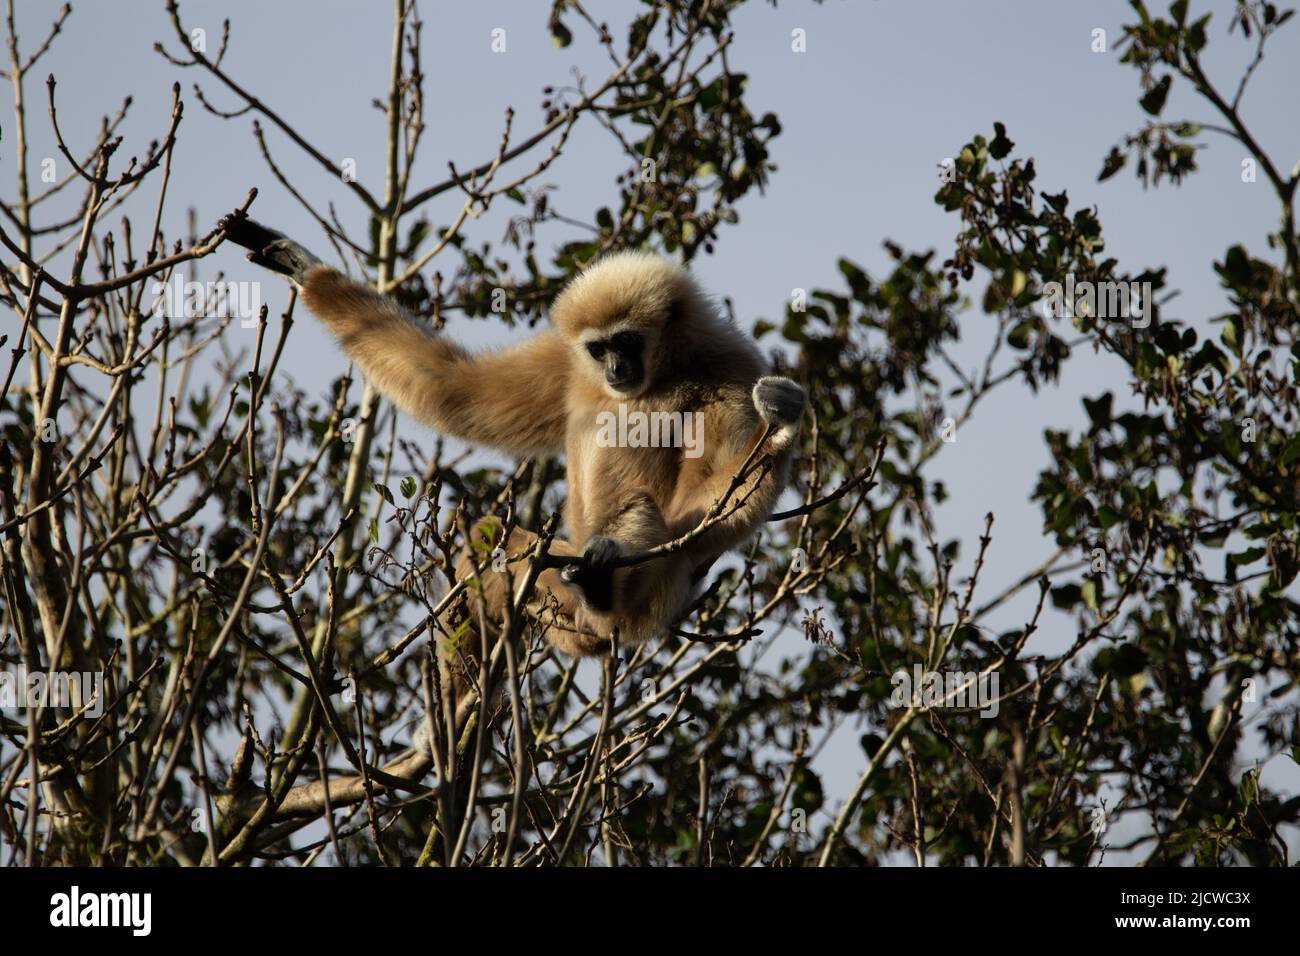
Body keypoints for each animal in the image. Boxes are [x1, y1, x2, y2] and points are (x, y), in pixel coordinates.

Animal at [220, 212, 806, 705]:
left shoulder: (729, 367)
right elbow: (453, 390)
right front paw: (302, 267)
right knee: (485, 546)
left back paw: (605, 590)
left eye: (627, 342)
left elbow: (720, 494)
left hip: (650, 589)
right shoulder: (566, 364)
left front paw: (779, 428)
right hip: (555, 597)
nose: (614, 368)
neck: (668, 368)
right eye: (599, 348)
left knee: (649, 524)